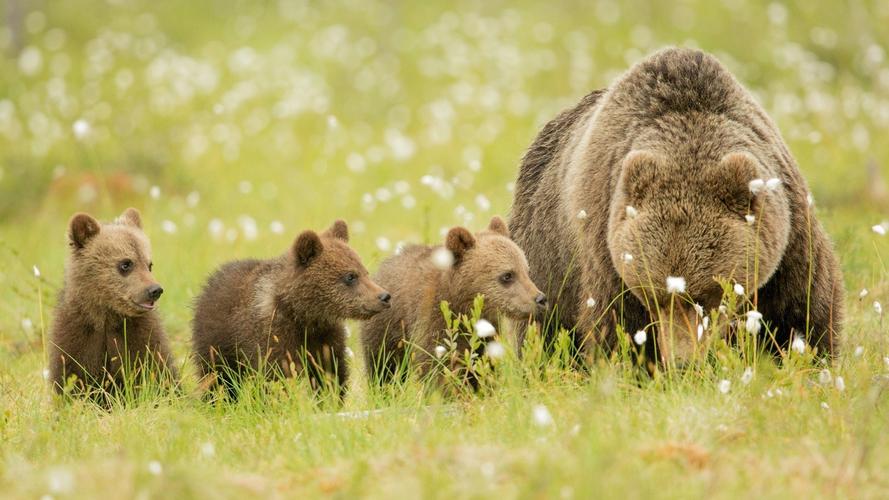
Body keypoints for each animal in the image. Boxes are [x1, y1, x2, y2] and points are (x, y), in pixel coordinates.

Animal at [48, 208, 178, 402]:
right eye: (126, 264)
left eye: (149, 264)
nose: (155, 290)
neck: (107, 317)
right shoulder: (77, 337)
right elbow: (72, 378)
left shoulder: (140, 338)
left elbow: (157, 372)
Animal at [191, 220, 390, 400]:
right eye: (350, 276)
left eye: (365, 272)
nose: (384, 296)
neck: (303, 315)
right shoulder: (273, 336)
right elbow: (276, 376)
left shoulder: (325, 337)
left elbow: (330, 374)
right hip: (218, 341)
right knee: (218, 378)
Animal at [360, 216, 547, 388]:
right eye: (507, 275)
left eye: (526, 271)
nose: (540, 299)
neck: (462, 304)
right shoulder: (432, 320)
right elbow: (434, 366)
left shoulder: (486, 331)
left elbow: (484, 365)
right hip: (386, 330)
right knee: (383, 367)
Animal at [509, 47, 843, 366]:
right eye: (654, 296)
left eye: (707, 296)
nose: (683, 361)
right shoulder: (606, 244)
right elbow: (615, 325)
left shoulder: (789, 236)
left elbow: (802, 310)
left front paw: (806, 357)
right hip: (546, 251)